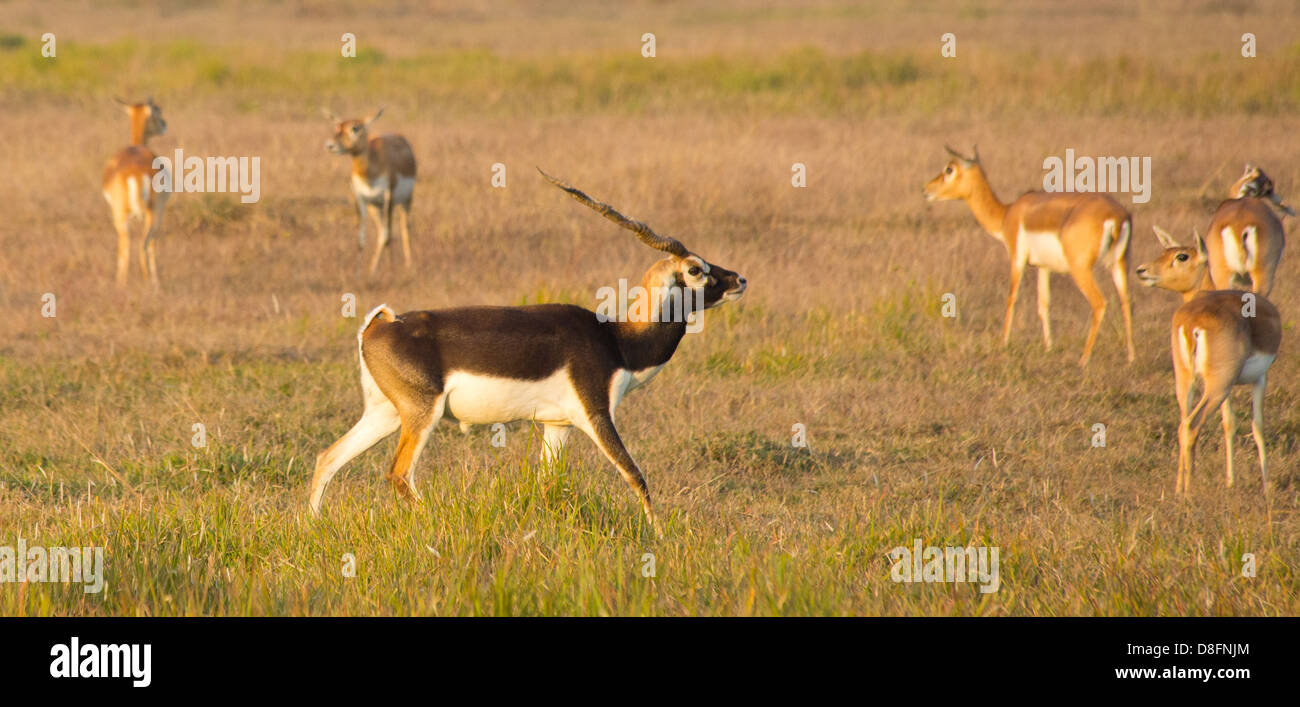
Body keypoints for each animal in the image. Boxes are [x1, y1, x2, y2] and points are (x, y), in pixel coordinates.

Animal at [102, 97, 169, 287]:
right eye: (158, 111)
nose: (165, 125)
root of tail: (137, 172)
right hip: (153, 213)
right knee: (145, 243)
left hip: (124, 216)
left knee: (131, 244)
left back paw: (124, 284)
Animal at [307, 169, 748, 534]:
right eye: (696, 269)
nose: (739, 279)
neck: (618, 342)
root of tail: (379, 324)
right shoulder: (595, 414)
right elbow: (634, 474)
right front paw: (659, 536)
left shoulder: (557, 425)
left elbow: (548, 483)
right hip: (421, 415)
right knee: (398, 475)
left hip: (384, 413)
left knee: (327, 457)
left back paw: (310, 526)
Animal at [323, 107, 417, 276]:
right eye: (337, 127)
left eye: (355, 128)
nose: (330, 145)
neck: (370, 172)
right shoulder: (360, 198)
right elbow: (361, 239)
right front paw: (357, 273)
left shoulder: (388, 197)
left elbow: (388, 235)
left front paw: (388, 270)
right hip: (375, 207)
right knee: (382, 232)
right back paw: (377, 268)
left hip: (405, 201)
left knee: (404, 230)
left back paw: (408, 265)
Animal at [924, 146, 1135, 367]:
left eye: (949, 169)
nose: (926, 190)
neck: (1007, 214)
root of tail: (1117, 217)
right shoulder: (1043, 267)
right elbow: (1043, 304)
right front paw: (1049, 348)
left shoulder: (1017, 258)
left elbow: (1011, 297)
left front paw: (1003, 344)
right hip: (1119, 265)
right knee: (1126, 302)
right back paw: (1131, 358)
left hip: (1081, 270)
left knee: (1099, 303)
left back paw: (1083, 359)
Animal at [1135, 226, 1281, 496]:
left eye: (1180, 255)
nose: (1142, 270)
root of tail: (1191, 324)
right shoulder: (1259, 378)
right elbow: (1257, 425)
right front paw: (1266, 487)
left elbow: (1229, 423)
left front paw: (1231, 481)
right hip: (1216, 387)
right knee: (1192, 426)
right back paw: (1189, 493)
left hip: (1187, 381)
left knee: (1182, 425)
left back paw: (1178, 489)